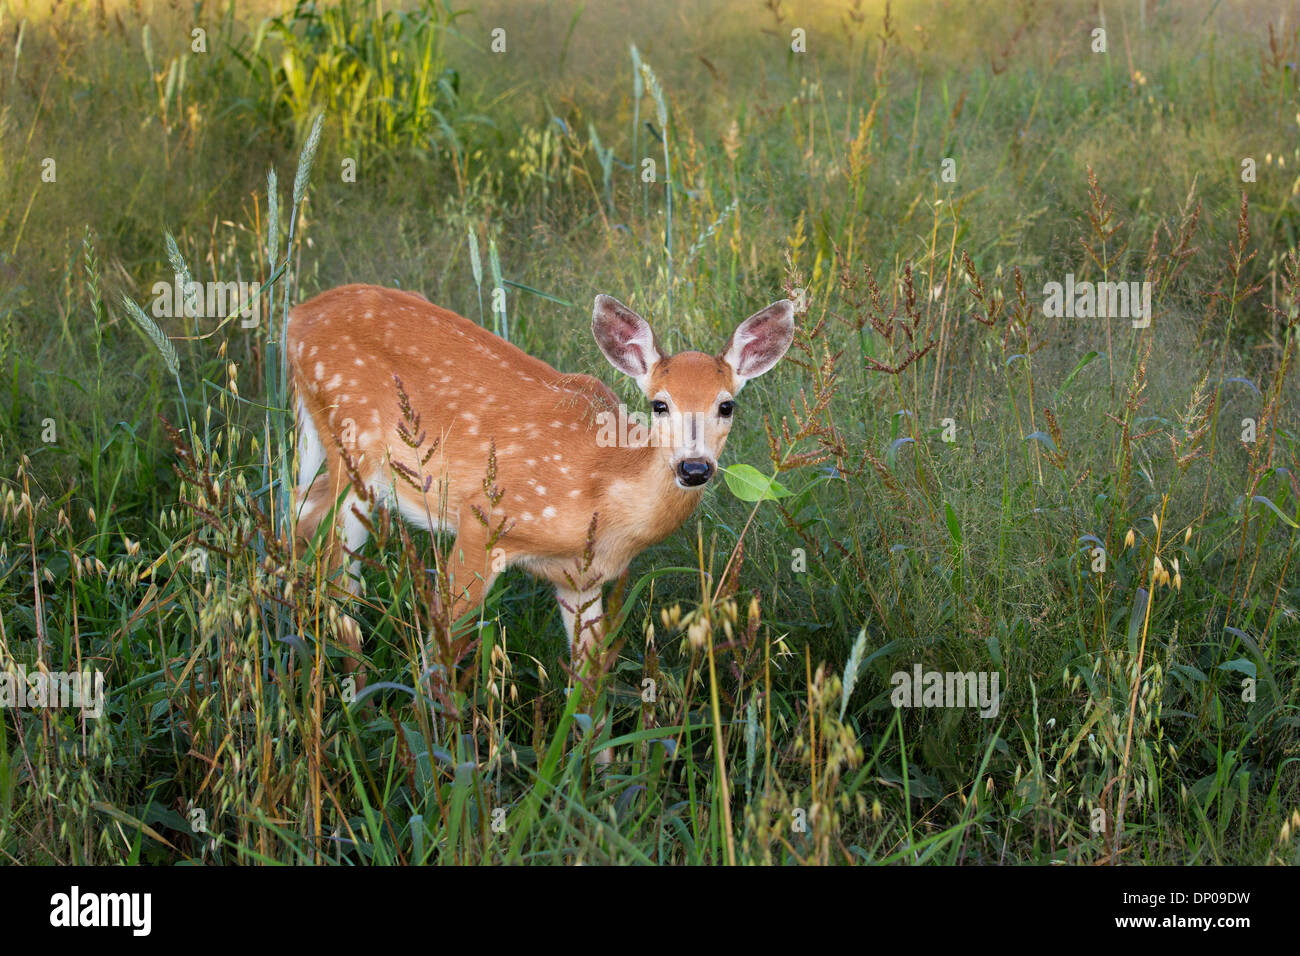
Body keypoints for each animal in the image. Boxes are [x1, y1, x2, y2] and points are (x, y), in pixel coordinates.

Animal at [287, 284, 794, 679]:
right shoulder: (483, 520)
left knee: (300, 506)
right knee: (334, 562)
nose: (694, 468)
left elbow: (587, 687)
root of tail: (294, 319)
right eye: (659, 404)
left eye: (726, 405)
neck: (602, 488)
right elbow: (442, 649)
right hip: (350, 446)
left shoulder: (581, 579)